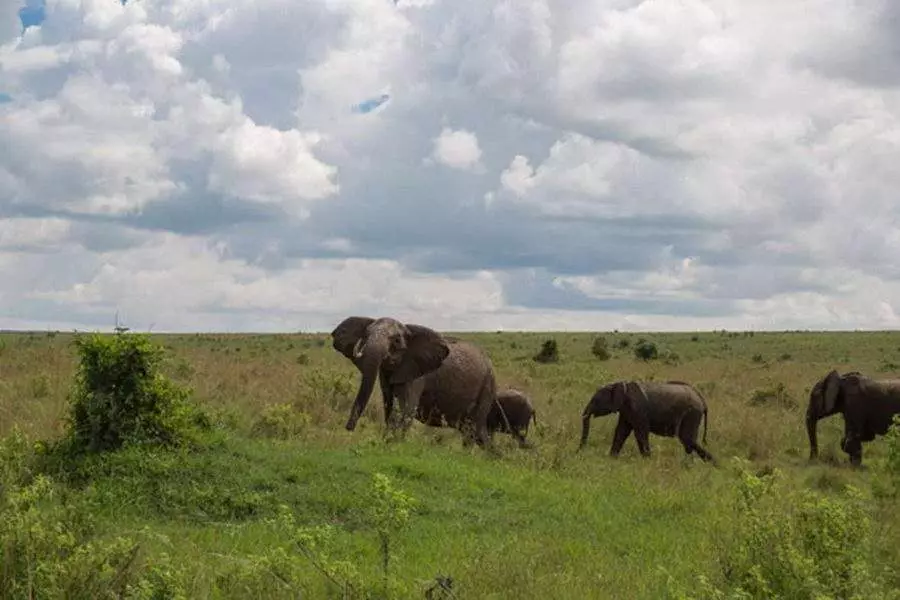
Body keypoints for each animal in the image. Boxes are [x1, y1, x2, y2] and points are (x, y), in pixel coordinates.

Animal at [330, 316, 500, 448]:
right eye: (365, 335)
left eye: (396, 341)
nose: (349, 428)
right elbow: (389, 407)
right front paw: (388, 442)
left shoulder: (416, 372)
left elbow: (405, 409)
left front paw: (392, 446)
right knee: (470, 430)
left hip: (487, 386)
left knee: (475, 429)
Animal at [580, 380, 712, 464]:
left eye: (596, 400)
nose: (579, 452)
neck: (621, 385)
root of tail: (702, 399)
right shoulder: (626, 410)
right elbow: (621, 432)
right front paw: (611, 459)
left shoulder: (638, 409)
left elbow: (640, 433)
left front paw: (647, 461)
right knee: (689, 441)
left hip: (692, 413)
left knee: (687, 439)